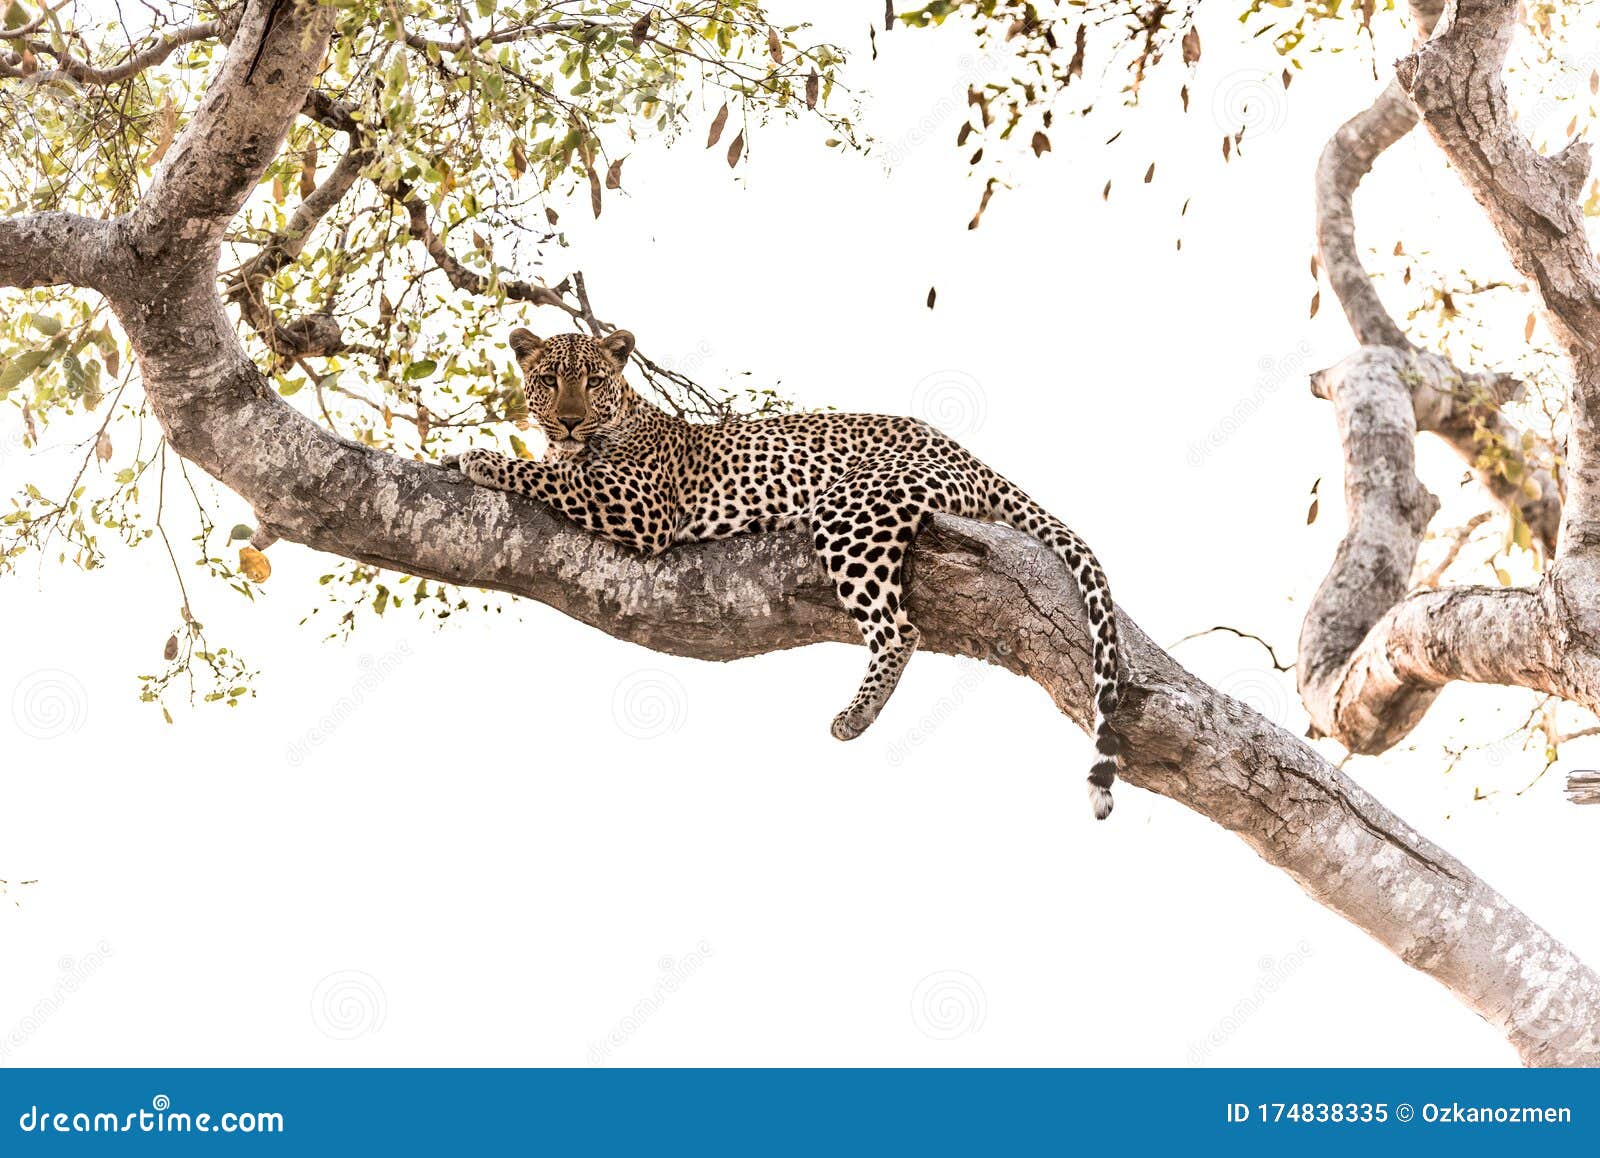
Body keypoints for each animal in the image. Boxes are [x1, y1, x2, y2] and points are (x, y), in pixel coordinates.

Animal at [445, 328, 1125, 818]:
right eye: (547, 380)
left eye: (592, 380)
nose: (566, 420)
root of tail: (967, 454)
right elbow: (556, 467)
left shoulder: (640, 504)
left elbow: (551, 475)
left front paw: (479, 458)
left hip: (851, 509)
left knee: (899, 630)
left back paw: (856, 716)